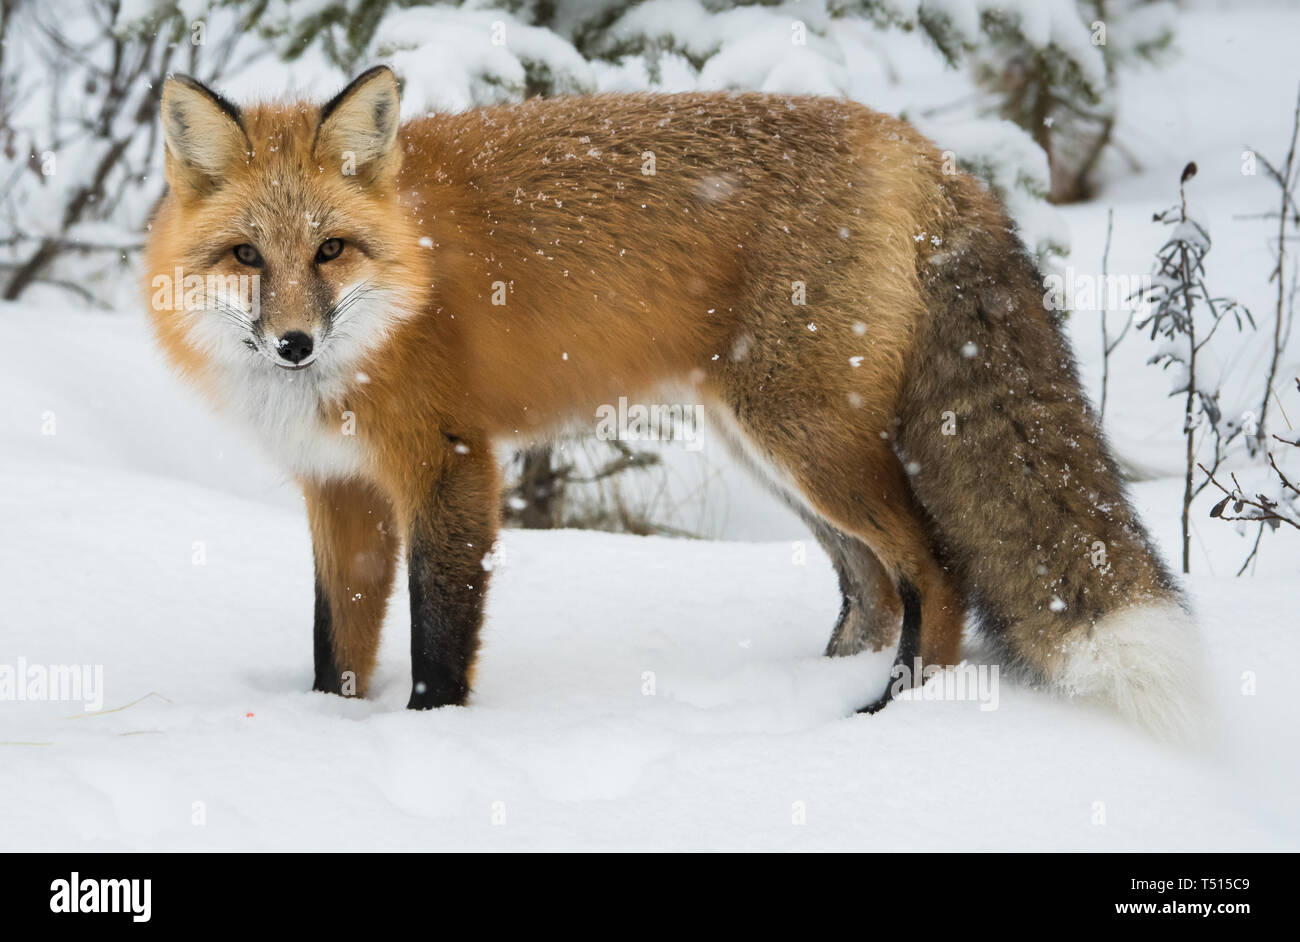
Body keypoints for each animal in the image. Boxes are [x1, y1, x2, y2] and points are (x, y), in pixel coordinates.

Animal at [144, 66, 1204, 738]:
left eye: (331, 250)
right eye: (247, 256)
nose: (294, 344)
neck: (403, 287)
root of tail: (920, 147)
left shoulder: (452, 467)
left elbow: (440, 640)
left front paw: (428, 743)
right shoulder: (341, 489)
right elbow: (337, 648)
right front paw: (328, 732)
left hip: (804, 437)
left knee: (935, 571)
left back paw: (890, 718)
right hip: (769, 450)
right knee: (869, 588)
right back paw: (817, 695)